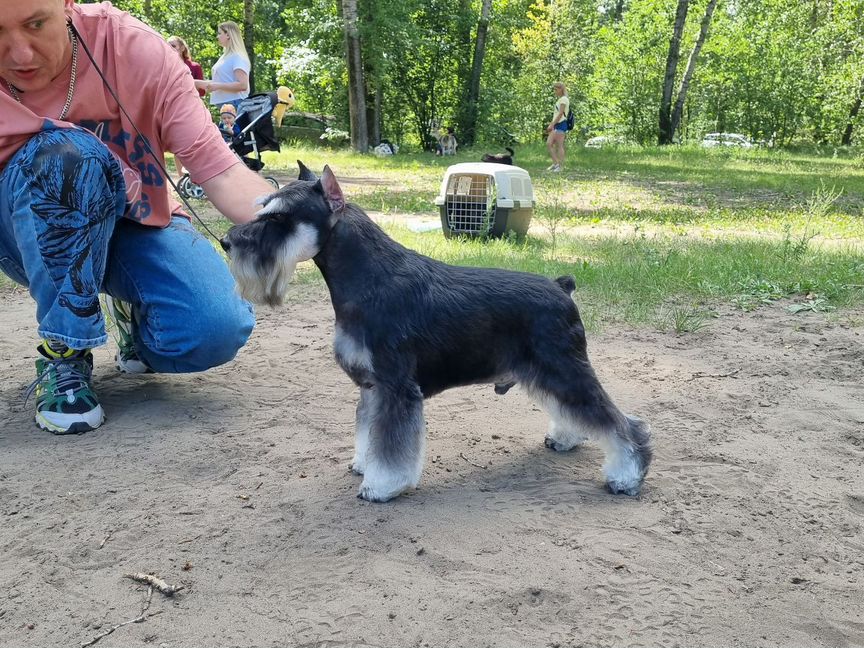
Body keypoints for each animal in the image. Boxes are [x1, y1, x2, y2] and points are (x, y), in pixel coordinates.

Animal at [219, 161, 652, 502]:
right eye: (263, 210)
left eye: (279, 218)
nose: (226, 241)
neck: (367, 279)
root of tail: (561, 287)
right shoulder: (372, 387)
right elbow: (368, 431)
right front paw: (363, 463)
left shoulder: (397, 388)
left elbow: (392, 445)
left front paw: (381, 485)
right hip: (545, 373)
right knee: (572, 410)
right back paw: (566, 438)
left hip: (564, 368)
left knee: (619, 423)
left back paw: (626, 476)